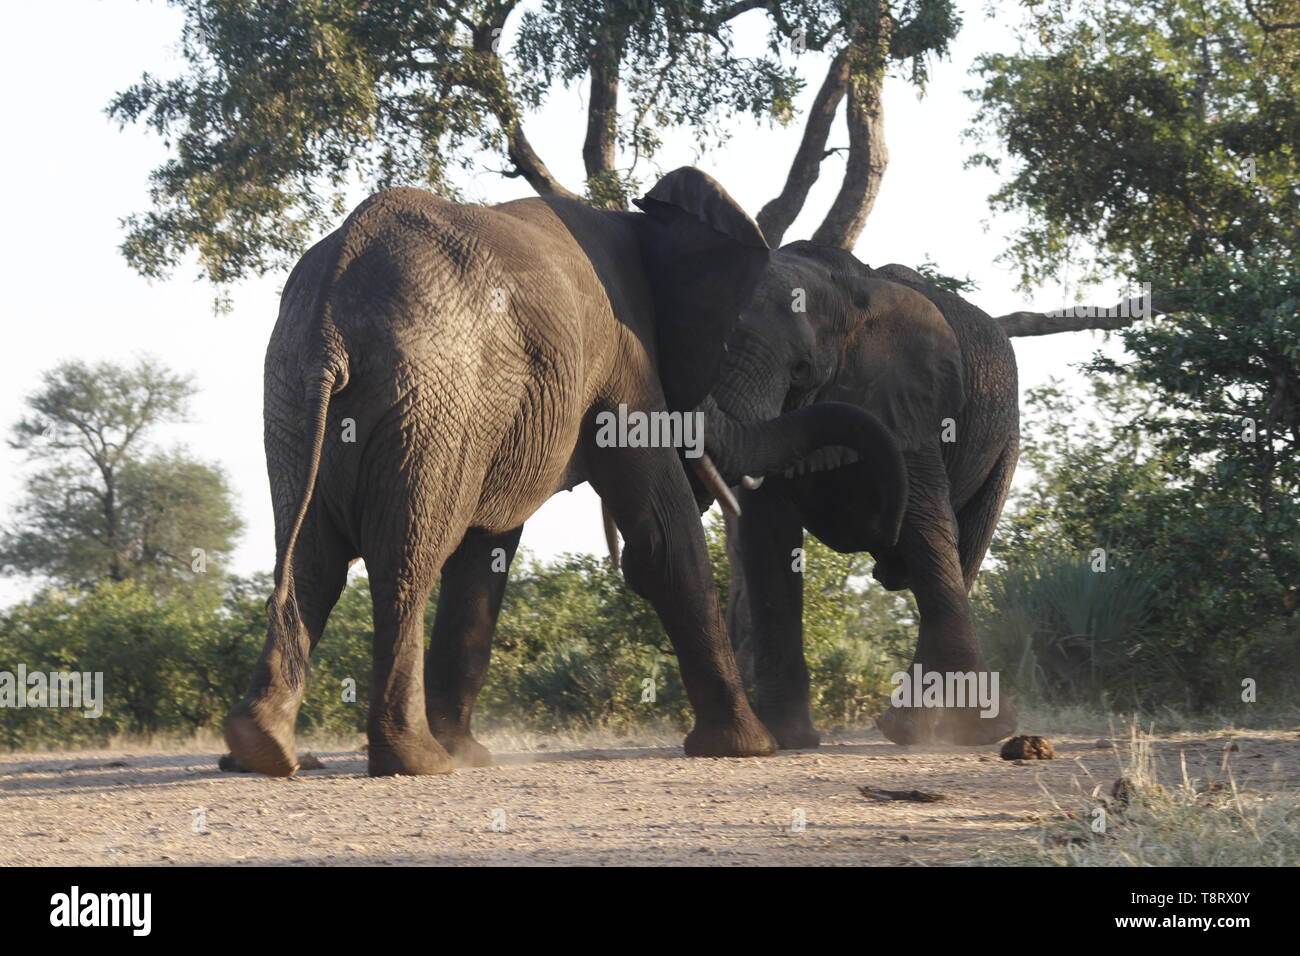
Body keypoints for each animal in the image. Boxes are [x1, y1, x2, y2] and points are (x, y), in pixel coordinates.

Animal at [223, 169, 910, 777]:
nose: (885, 539)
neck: (639, 224)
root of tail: (331, 318)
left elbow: (486, 556)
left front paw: (472, 754)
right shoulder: (624, 361)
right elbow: (666, 535)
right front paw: (748, 749)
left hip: (302, 398)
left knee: (310, 559)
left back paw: (264, 748)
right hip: (430, 399)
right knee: (405, 561)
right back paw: (417, 763)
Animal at [709, 240, 1020, 748]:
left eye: (801, 369)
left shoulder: (908, 401)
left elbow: (925, 527)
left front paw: (987, 731)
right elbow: (769, 543)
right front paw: (787, 739)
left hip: (1004, 443)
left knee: (963, 553)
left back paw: (916, 730)